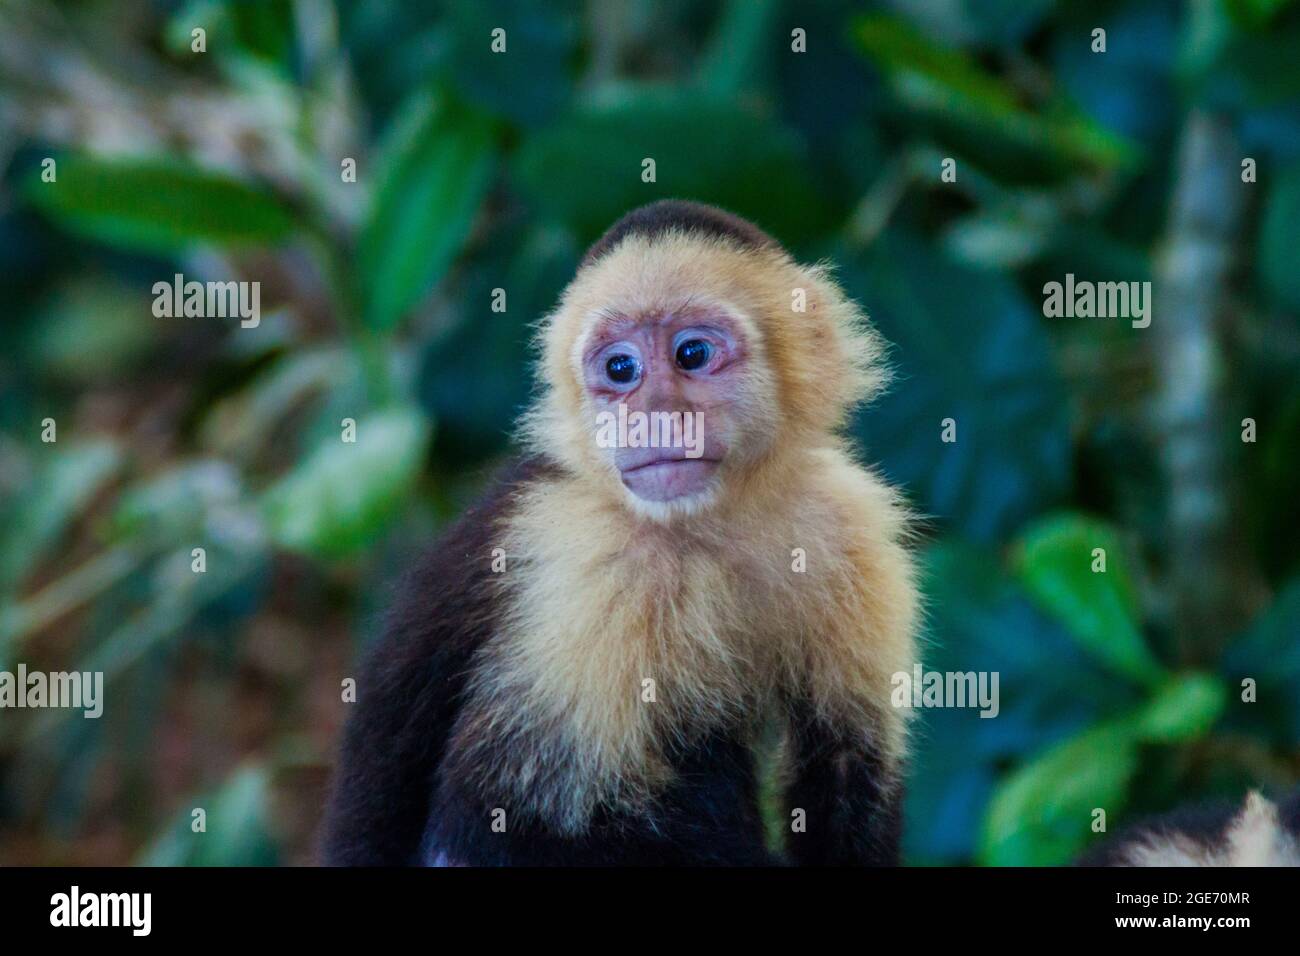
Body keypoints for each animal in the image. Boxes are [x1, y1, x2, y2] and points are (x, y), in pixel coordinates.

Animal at [320, 199, 920, 866]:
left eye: (691, 354)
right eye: (621, 368)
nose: (654, 416)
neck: (713, 524)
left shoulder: (850, 525)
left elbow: (846, 771)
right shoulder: (592, 560)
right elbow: (488, 820)